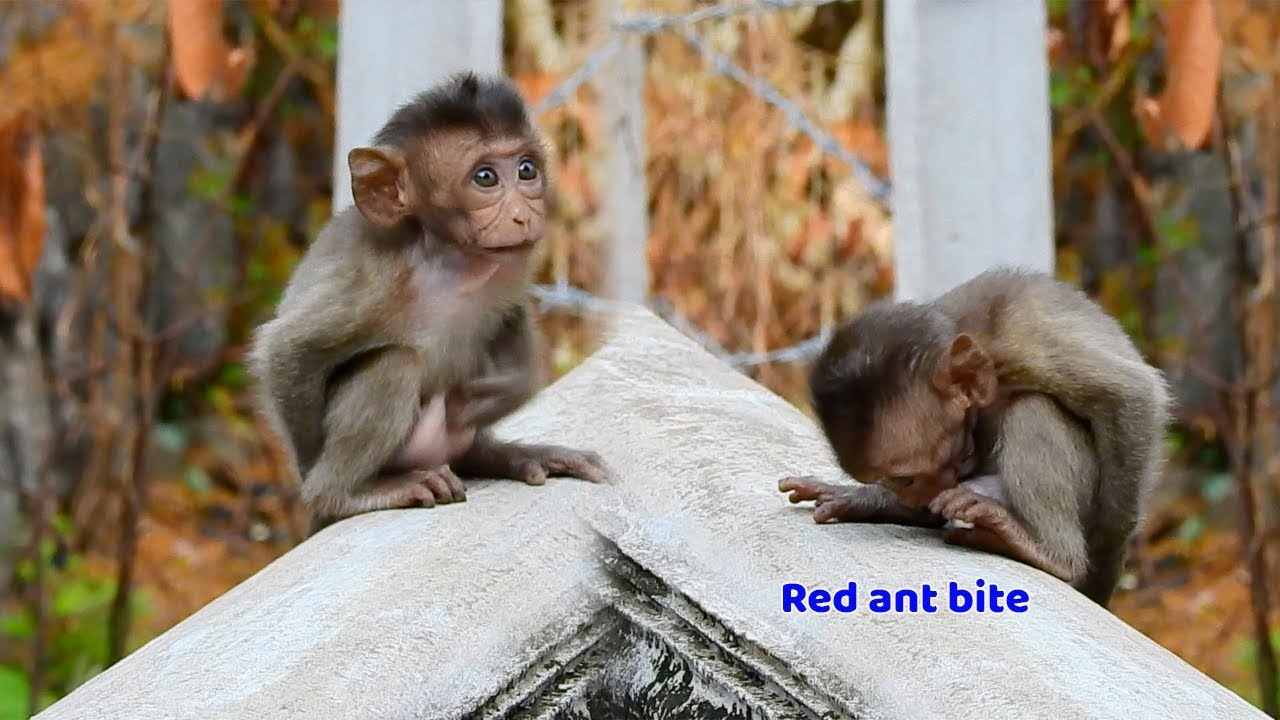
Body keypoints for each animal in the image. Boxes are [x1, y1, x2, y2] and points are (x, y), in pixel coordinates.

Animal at [246, 72, 609, 526]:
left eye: (526, 170)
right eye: (485, 178)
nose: (523, 215)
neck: (452, 263)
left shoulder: (507, 270)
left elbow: (510, 315)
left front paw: (501, 395)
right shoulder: (372, 283)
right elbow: (286, 352)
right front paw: (315, 477)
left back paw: (499, 456)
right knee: (395, 364)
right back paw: (343, 493)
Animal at [778, 266, 1171, 607]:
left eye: (906, 479)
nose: (917, 499)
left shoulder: (1026, 339)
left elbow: (1131, 396)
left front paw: (1102, 566)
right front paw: (864, 498)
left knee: (1032, 409)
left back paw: (1053, 553)